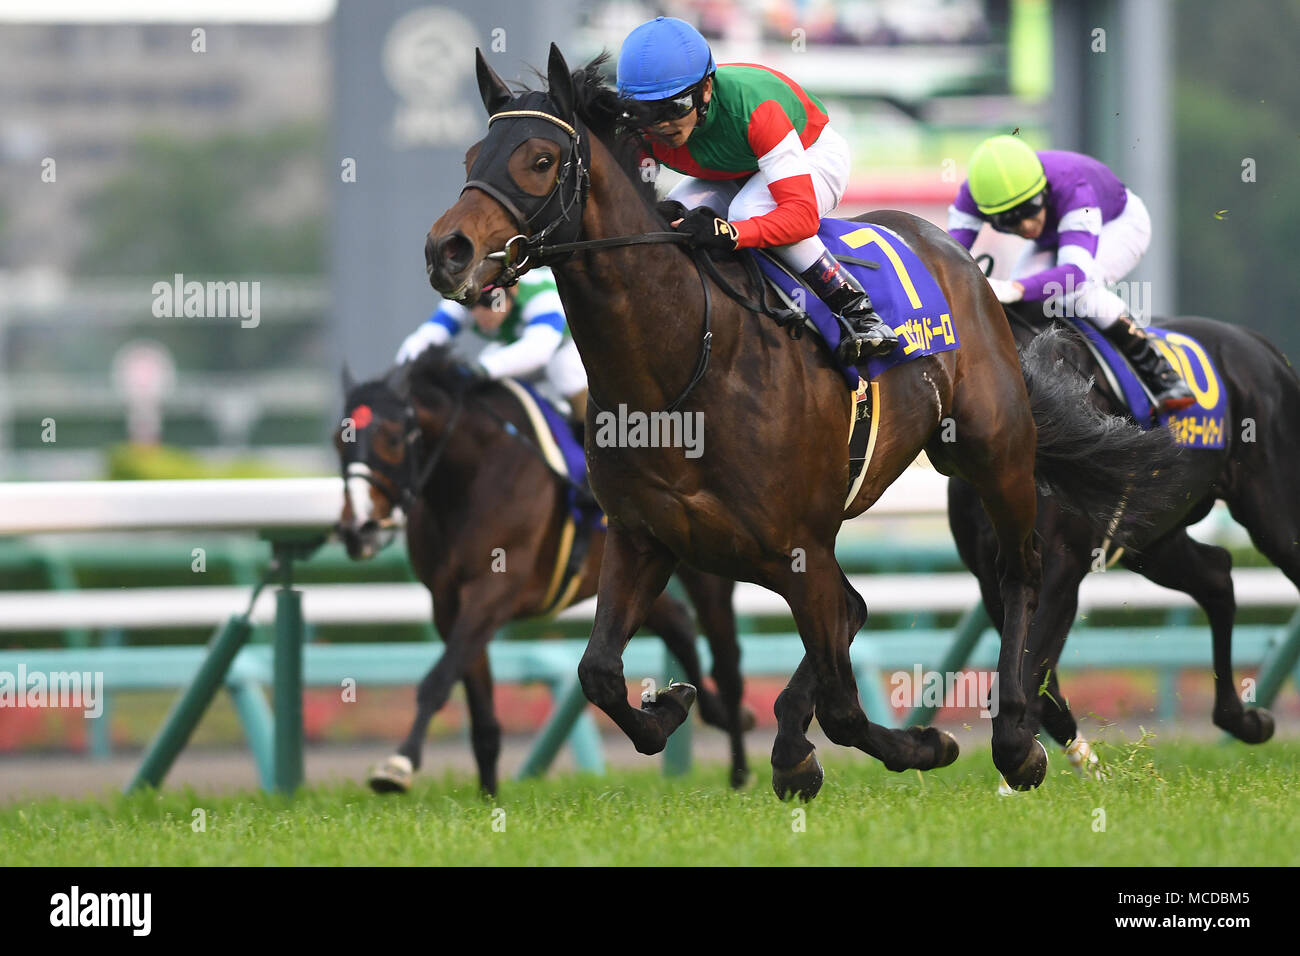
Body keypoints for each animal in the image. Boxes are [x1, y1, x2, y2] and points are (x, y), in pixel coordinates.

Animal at [333, 344, 750, 795]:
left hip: (704, 572)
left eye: (393, 438)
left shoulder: (493, 592)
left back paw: (739, 771)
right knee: (678, 624)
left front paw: (399, 763)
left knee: (727, 664)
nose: (358, 529)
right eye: (340, 440)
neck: (471, 476)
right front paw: (488, 796)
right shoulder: (447, 602)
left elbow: (439, 679)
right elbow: (480, 711)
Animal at [423, 44, 1184, 799]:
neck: (680, 368)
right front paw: (675, 706)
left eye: (541, 159)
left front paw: (923, 744)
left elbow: (845, 707)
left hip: (993, 452)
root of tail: (962, 257)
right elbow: (599, 673)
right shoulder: (645, 538)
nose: (447, 251)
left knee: (1017, 570)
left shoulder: (799, 544)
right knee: (853, 608)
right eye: (469, 157)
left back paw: (1017, 740)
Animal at [948, 302, 1293, 763]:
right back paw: (1243, 719)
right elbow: (1039, 685)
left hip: (1275, 513)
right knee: (1218, 575)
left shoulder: (1062, 567)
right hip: (1154, 538)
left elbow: (1031, 674)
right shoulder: (991, 574)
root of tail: (1261, 345)